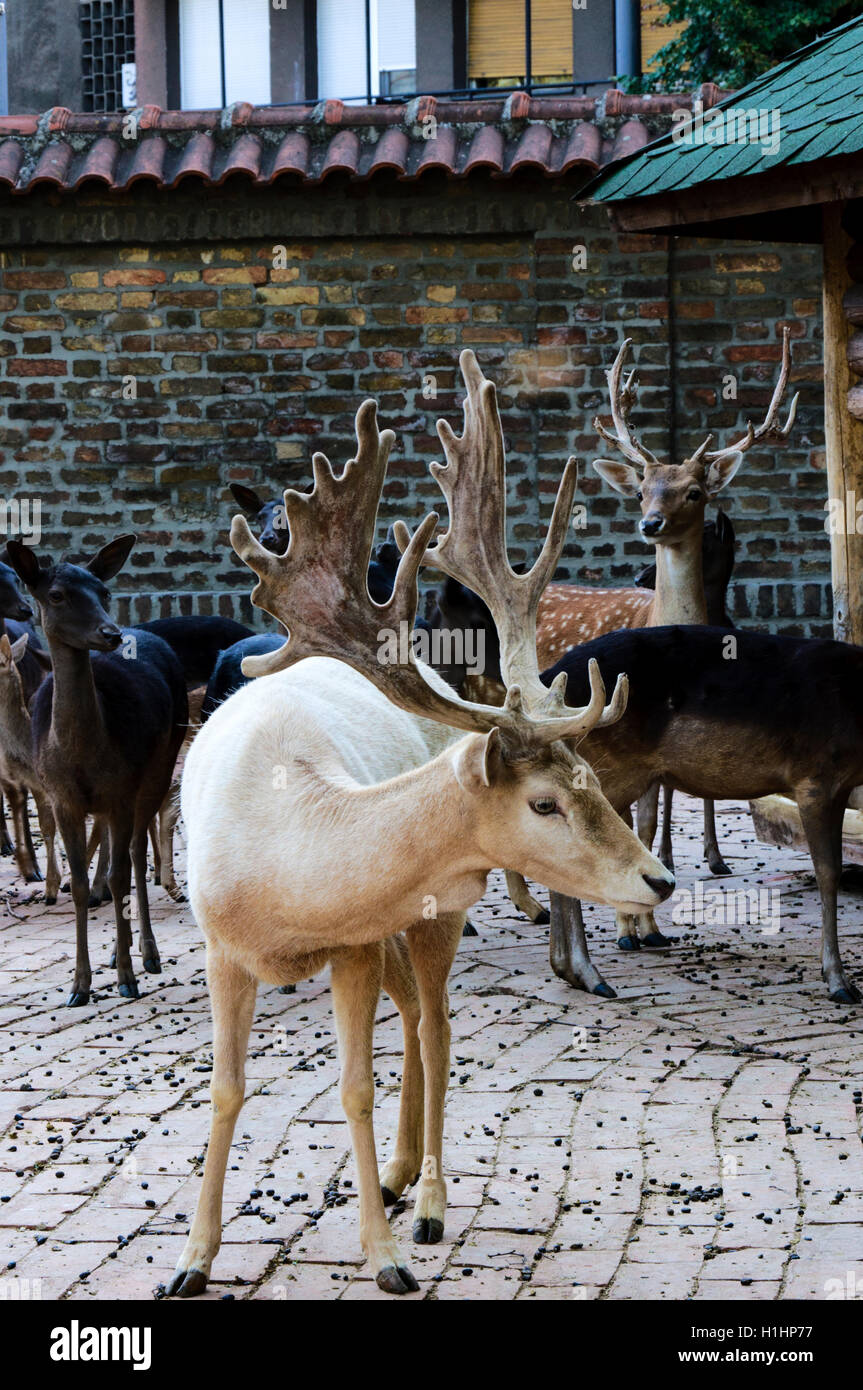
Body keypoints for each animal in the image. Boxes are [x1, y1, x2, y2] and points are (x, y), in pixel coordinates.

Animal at [6, 537, 188, 1006]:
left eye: (104, 593)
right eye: (56, 595)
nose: (111, 633)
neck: (84, 755)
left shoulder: (122, 790)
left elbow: (119, 875)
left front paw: (127, 978)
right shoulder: (62, 798)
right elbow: (82, 885)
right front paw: (79, 986)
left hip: (160, 763)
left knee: (137, 853)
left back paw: (147, 954)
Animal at [166, 388, 673, 1299]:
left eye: (588, 776)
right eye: (545, 801)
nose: (658, 880)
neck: (287, 870)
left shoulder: (354, 942)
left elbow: (354, 1087)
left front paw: (385, 1256)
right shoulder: (223, 945)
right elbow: (225, 1090)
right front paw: (192, 1259)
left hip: (433, 912)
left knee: (434, 1024)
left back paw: (429, 1199)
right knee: (411, 1014)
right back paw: (403, 1175)